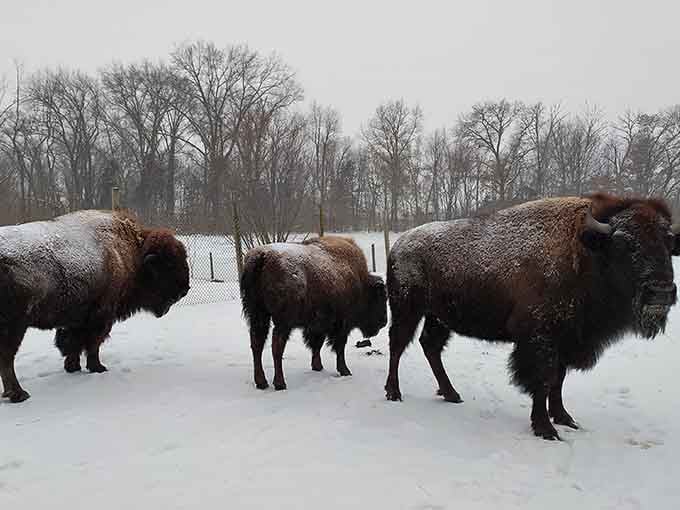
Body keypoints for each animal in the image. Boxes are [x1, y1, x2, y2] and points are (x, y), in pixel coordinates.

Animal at [0, 210, 190, 402]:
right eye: (169, 265)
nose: (185, 289)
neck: (132, 253)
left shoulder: (75, 320)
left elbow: (73, 343)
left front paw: (72, 367)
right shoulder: (101, 317)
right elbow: (93, 344)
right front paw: (98, 367)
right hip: (14, 327)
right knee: (7, 358)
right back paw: (19, 394)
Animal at [241, 236, 387, 391]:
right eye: (381, 298)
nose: (384, 321)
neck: (360, 282)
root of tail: (262, 256)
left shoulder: (317, 325)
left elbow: (317, 345)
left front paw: (317, 366)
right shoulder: (341, 325)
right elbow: (339, 347)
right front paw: (345, 371)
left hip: (258, 316)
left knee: (257, 344)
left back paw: (261, 382)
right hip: (282, 322)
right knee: (276, 347)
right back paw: (280, 383)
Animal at [385, 194, 679, 439]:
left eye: (668, 242)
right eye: (623, 243)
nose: (661, 292)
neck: (585, 253)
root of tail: (399, 245)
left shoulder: (566, 341)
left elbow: (558, 381)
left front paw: (564, 418)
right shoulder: (540, 340)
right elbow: (544, 381)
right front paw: (545, 429)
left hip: (438, 317)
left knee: (430, 346)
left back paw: (451, 394)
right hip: (407, 309)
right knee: (397, 345)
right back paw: (394, 393)